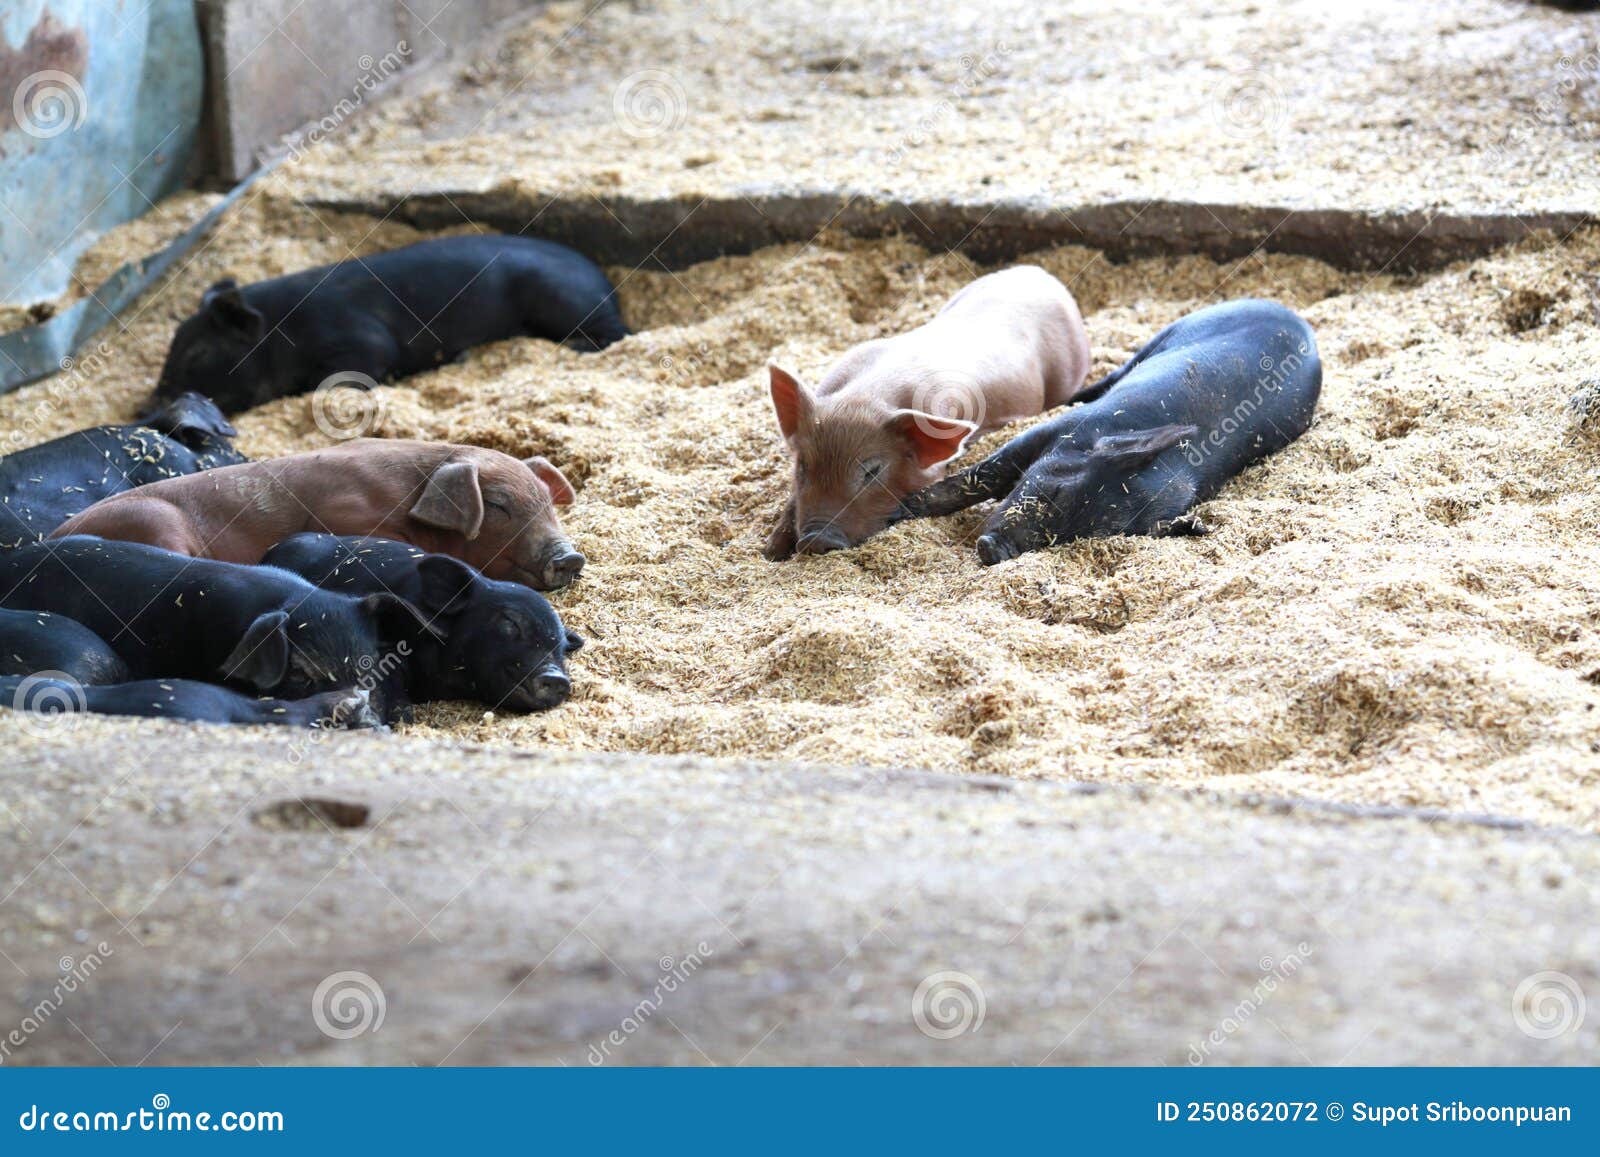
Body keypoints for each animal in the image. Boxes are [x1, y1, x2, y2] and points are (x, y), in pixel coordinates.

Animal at [150, 235, 629, 414]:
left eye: (197, 354)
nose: (145, 411)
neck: (282, 333)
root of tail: (606, 282)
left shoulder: (362, 342)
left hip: (566, 301)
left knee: (616, 336)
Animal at [763, 265, 1093, 559]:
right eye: (803, 465)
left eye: (872, 470)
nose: (816, 539)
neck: (867, 395)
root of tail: (1041, 275)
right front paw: (771, 552)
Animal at [894, 299, 1322, 563]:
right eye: (1055, 491)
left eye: (1081, 535)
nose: (991, 549)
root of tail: (1299, 321)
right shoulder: (1054, 432)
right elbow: (978, 478)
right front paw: (899, 511)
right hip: (1165, 336)